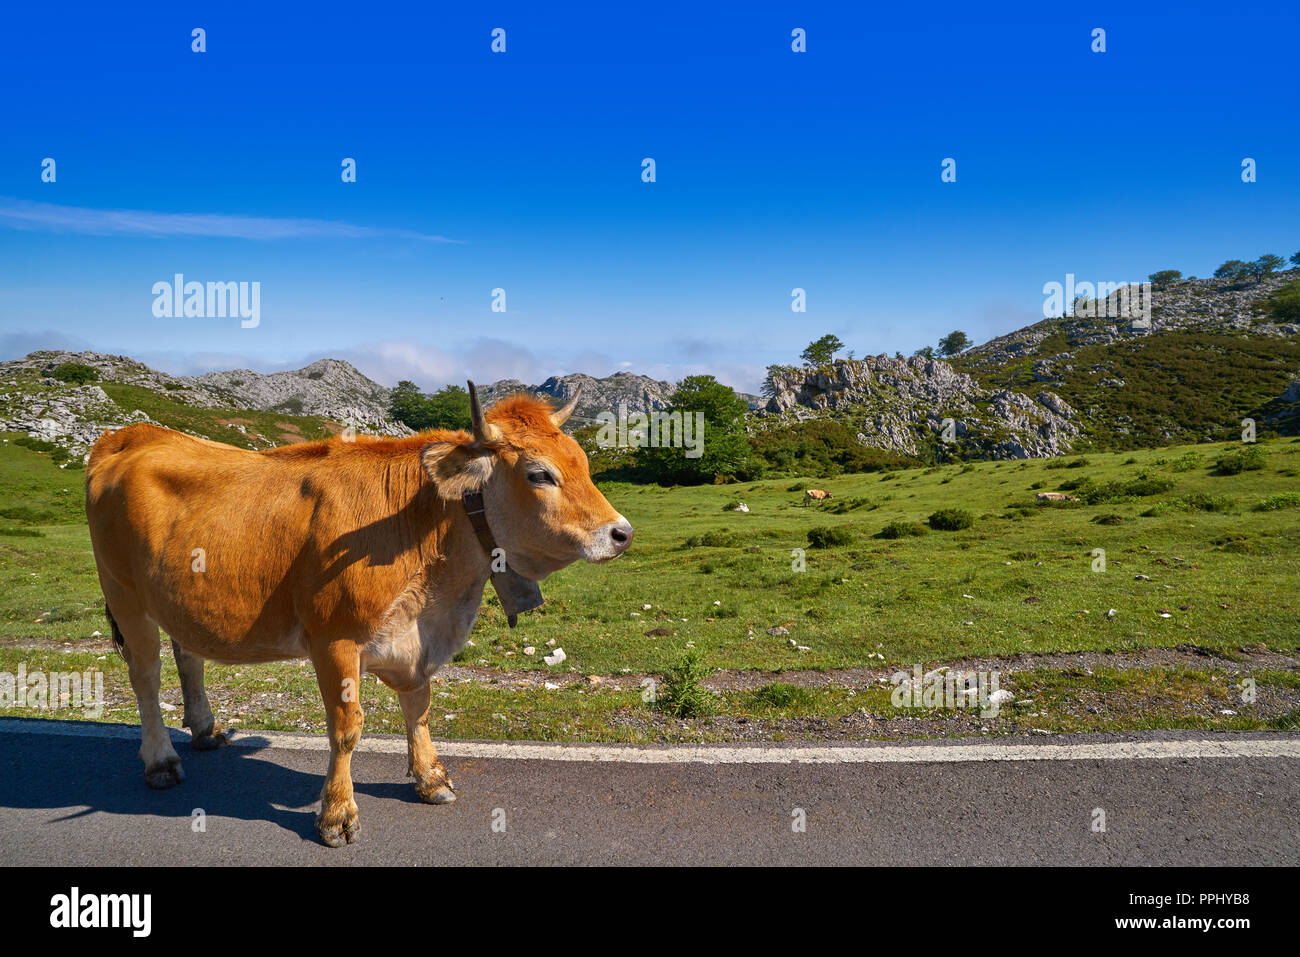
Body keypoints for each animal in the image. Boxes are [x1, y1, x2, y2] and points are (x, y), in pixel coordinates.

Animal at [85, 383, 633, 846]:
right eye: (539, 474)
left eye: (583, 461)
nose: (621, 533)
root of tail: (131, 434)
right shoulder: (335, 640)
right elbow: (347, 727)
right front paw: (337, 814)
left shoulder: (416, 638)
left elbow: (420, 707)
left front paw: (431, 777)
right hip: (124, 593)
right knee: (145, 675)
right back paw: (160, 760)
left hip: (178, 597)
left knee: (188, 655)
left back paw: (205, 730)